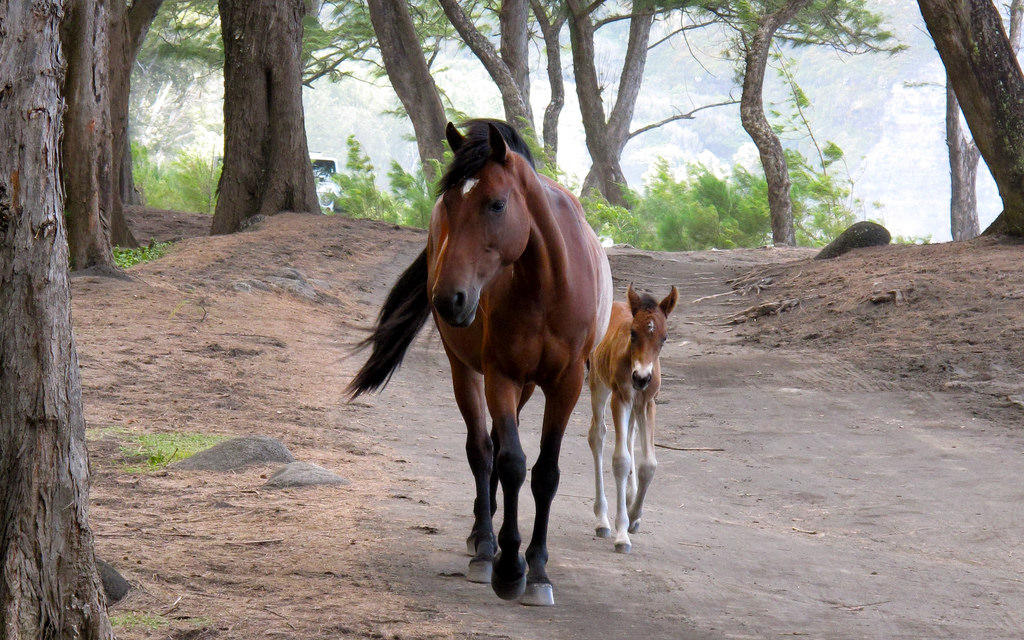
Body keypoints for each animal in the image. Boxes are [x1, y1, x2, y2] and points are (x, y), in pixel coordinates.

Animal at [348, 119, 613, 607]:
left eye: (496, 204)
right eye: (449, 203)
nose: (448, 299)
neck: (547, 286)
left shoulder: (564, 385)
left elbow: (545, 473)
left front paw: (538, 570)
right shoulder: (500, 376)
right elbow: (510, 462)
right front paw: (509, 565)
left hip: (526, 386)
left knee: (495, 442)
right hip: (468, 372)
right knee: (482, 449)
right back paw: (484, 541)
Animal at [587, 284, 677, 553]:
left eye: (664, 338)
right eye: (633, 333)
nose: (641, 378)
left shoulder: (647, 403)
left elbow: (648, 464)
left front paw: (635, 515)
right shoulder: (621, 398)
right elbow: (620, 460)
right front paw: (621, 533)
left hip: (635, 406)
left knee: (629, 435)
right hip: (598, 385)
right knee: (597, 435)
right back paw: (602, 519)